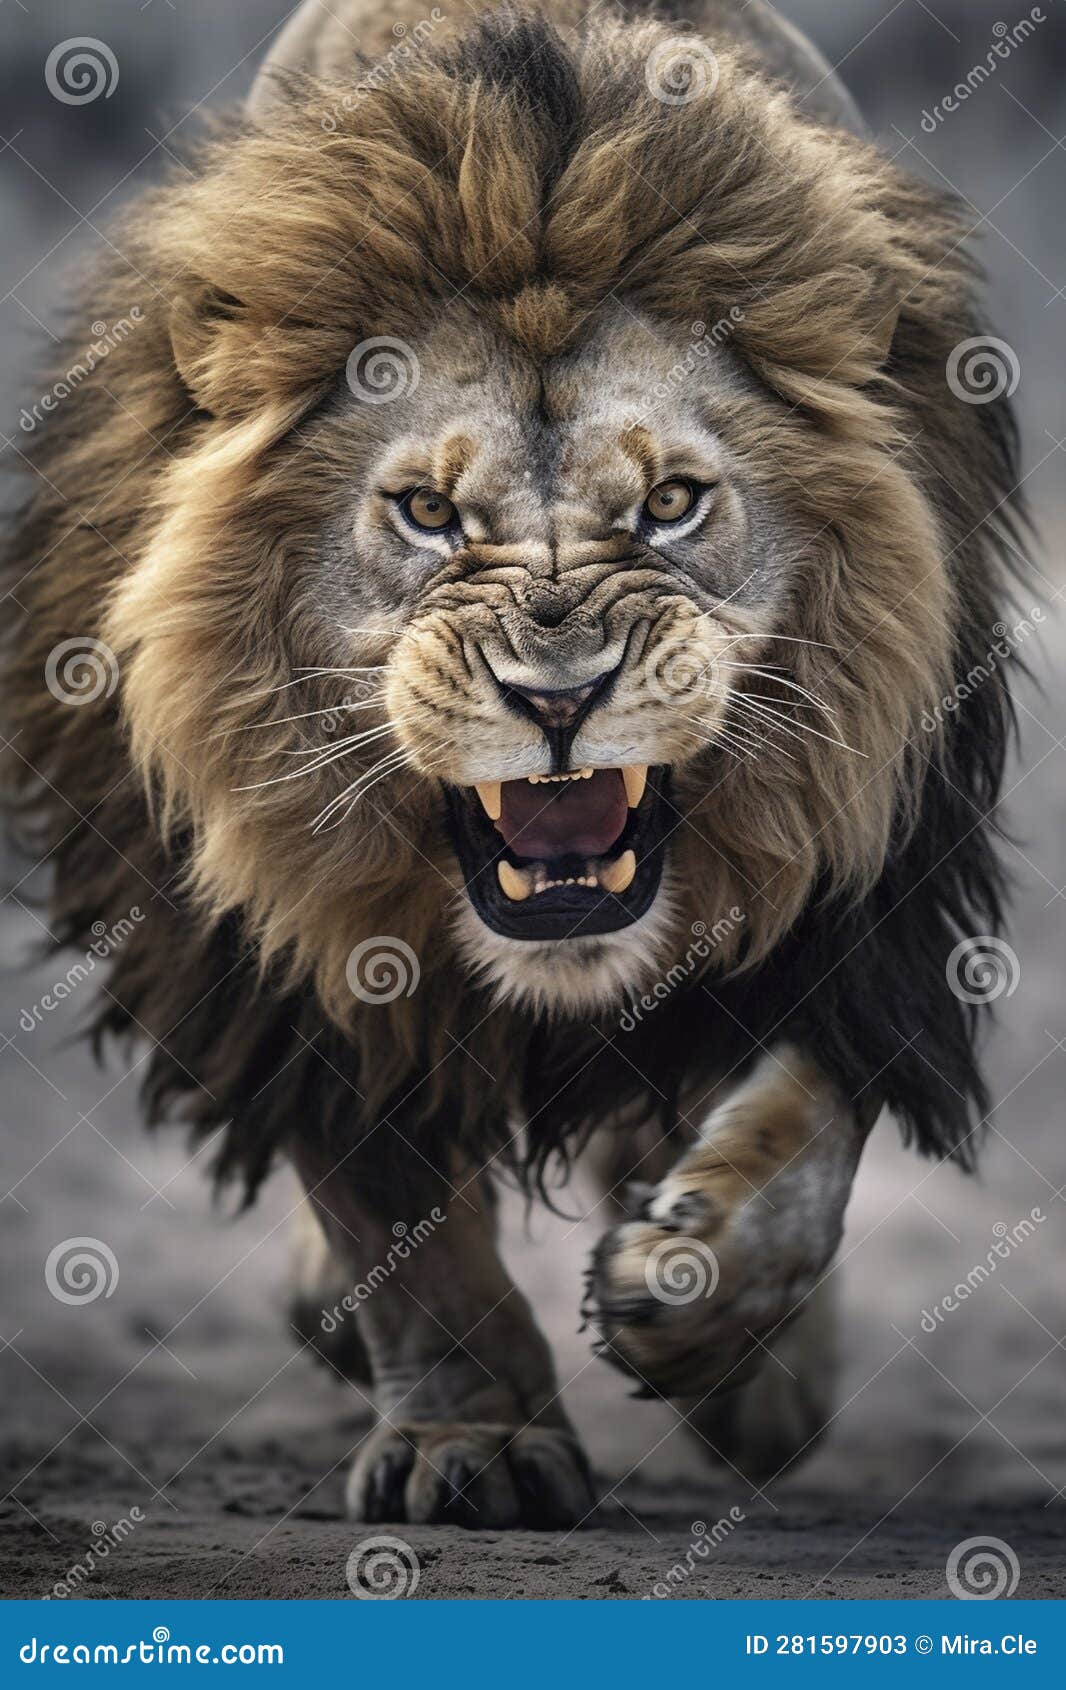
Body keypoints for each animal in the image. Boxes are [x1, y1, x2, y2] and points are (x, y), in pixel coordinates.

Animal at [2, 0, 1023, 1528]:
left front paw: (693, 1291)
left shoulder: (875, 889)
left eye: (672, 502)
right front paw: (470, 1438)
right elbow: (395, 1216)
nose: (560, 694)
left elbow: (811, 1130)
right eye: (427, 513)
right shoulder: (287, 947)